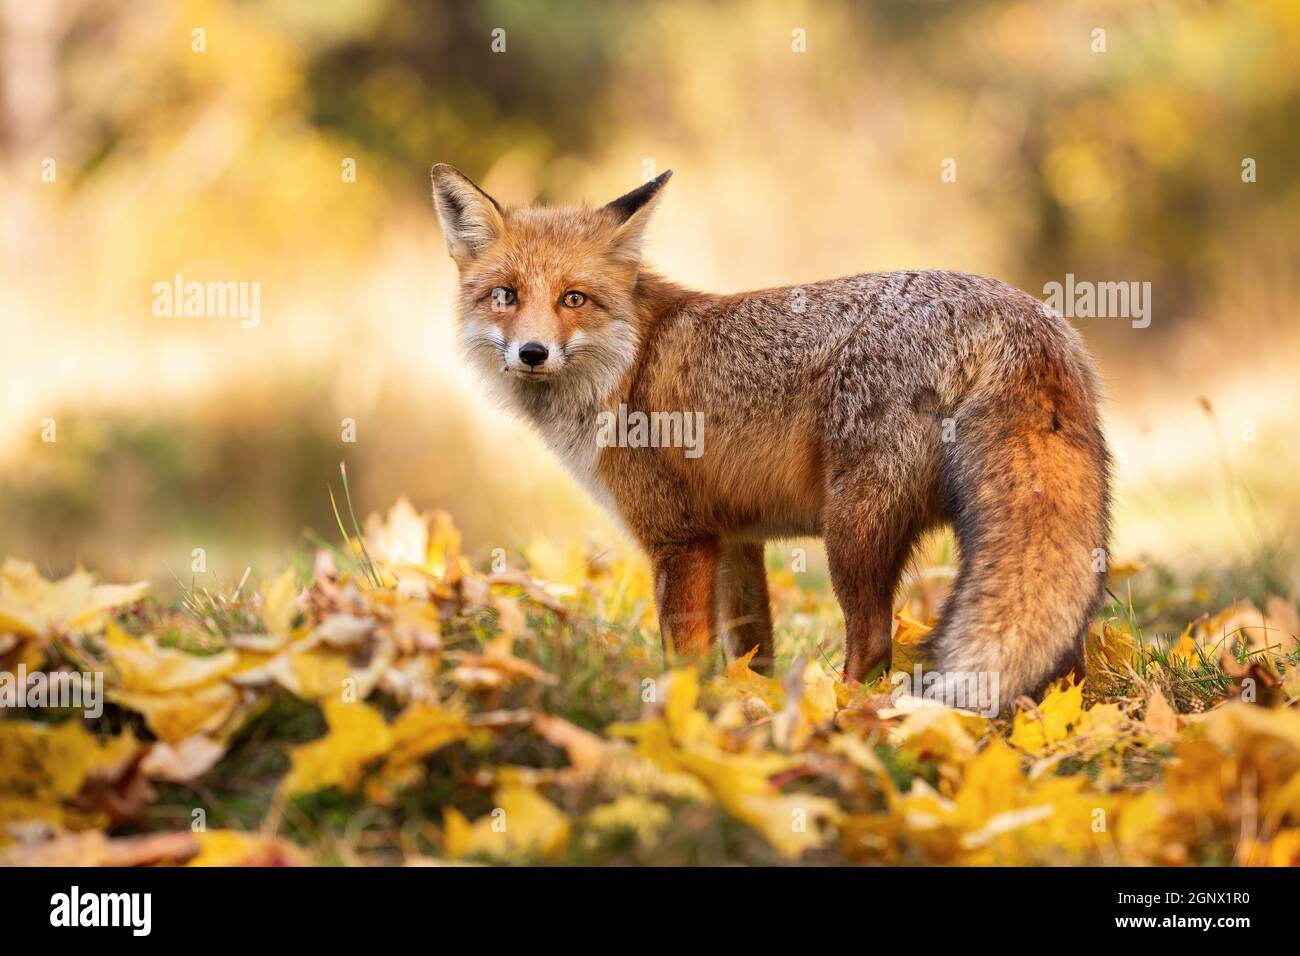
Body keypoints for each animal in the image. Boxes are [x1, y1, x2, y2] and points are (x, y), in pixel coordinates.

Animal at [430, 163, 1111, 706]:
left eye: (573, 298)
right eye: (504, 295)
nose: (532, 352)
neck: (629, 366)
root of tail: (1019, 314)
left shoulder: (679, 539)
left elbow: (685, 654)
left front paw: (690, 713)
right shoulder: (733, 538)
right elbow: (752, 649)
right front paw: (748, 705)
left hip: (853, 532)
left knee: (874, 643)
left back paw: (840, 714)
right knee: (1064, 651)